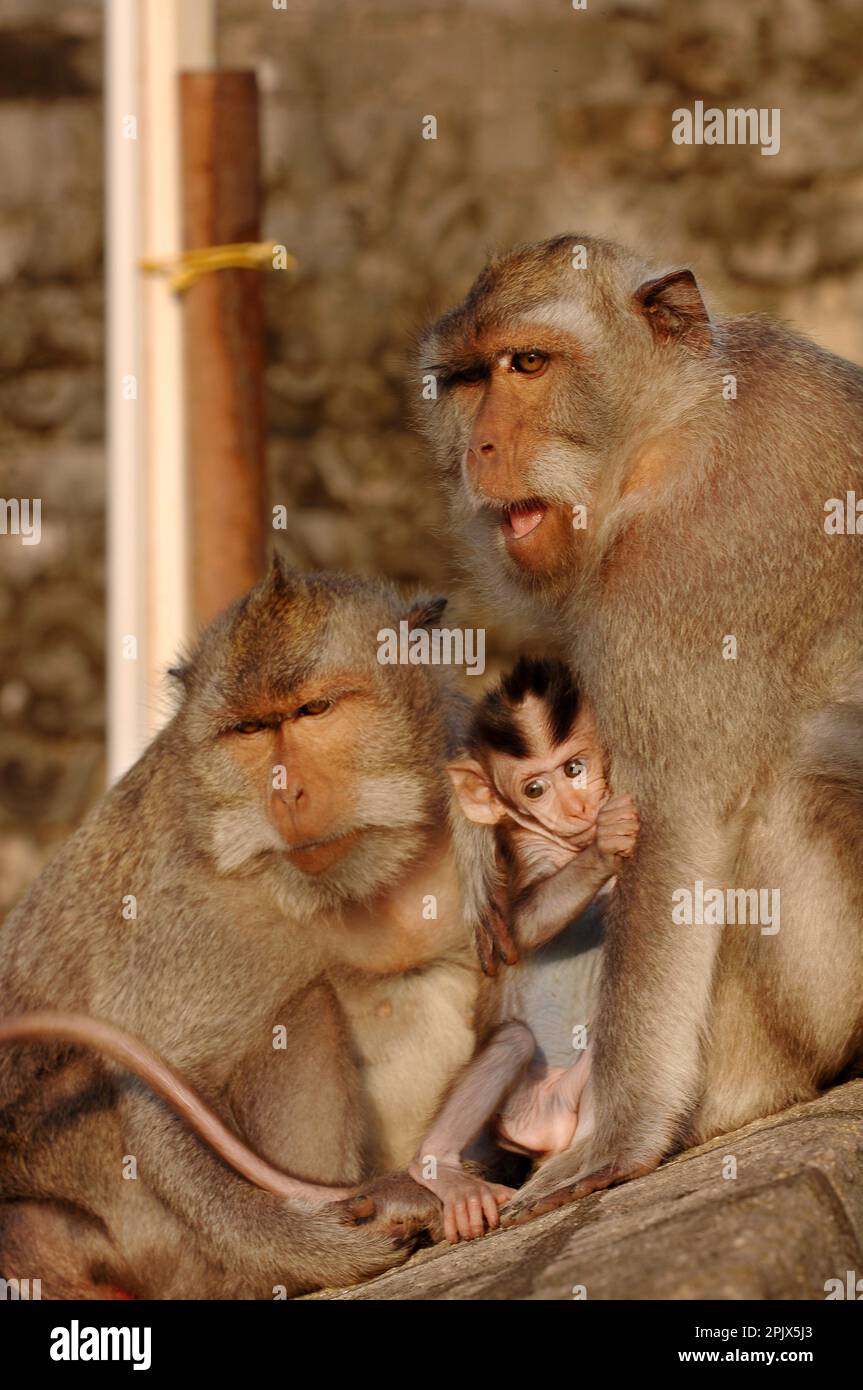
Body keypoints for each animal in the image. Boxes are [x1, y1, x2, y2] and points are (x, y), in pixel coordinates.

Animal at [0, 561, 483, 1298]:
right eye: (251, 731)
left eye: (313, 711)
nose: (286, 791)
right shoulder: (196, 907)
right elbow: (163, 1087)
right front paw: (321, 1249)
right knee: (298, 1008)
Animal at [410, 655, 638, 1242]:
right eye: (535, 789)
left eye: (575, 768)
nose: (576, 805)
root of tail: (540, 1131)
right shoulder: (530, 856)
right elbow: (521, 925)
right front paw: (604, 847)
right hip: (520, 1105)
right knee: (513, 1040)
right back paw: (439, 1168)